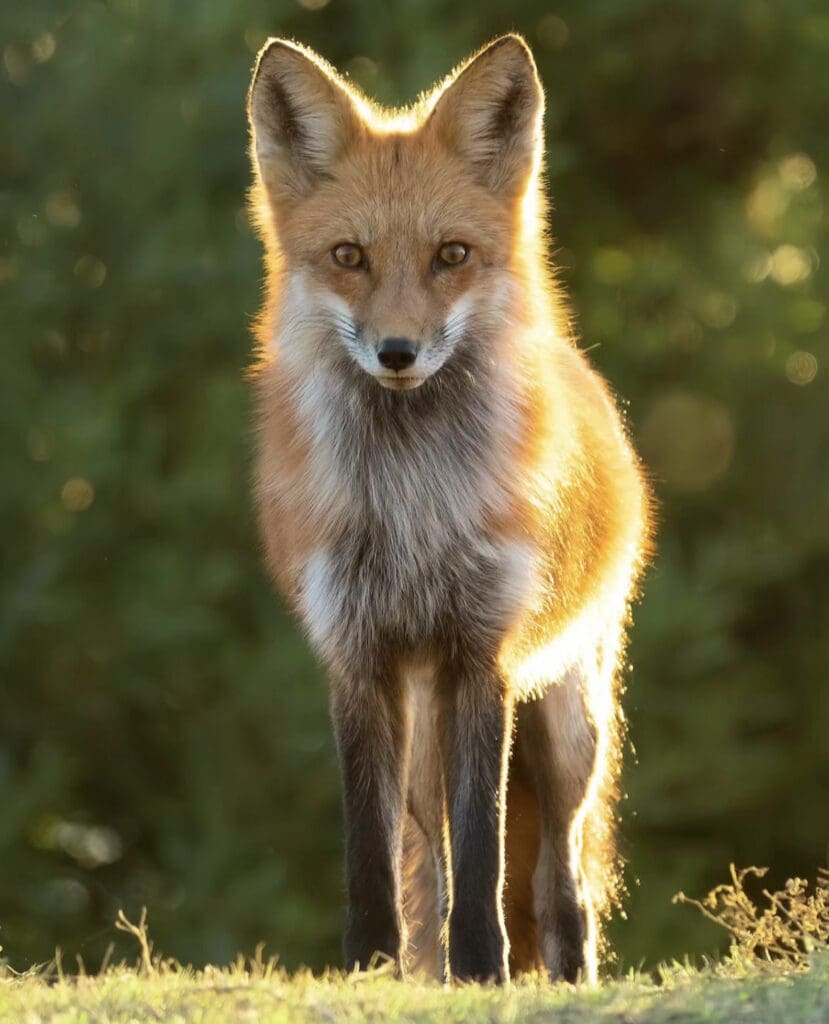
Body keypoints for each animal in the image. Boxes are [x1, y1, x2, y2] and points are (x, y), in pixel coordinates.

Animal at [246, 34, 651, 984]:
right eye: (348, 256)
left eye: (451, 256)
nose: (397, 352)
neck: (410, 508)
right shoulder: (356, 656)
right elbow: (373, 855)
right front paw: (369, 970)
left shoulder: (480, 657)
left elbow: (483, 850)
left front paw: (482, 973)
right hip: (422, 727)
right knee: (426, 860)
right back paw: (423, 967)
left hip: (567, 725)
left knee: (560, 880)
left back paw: (562, 978)